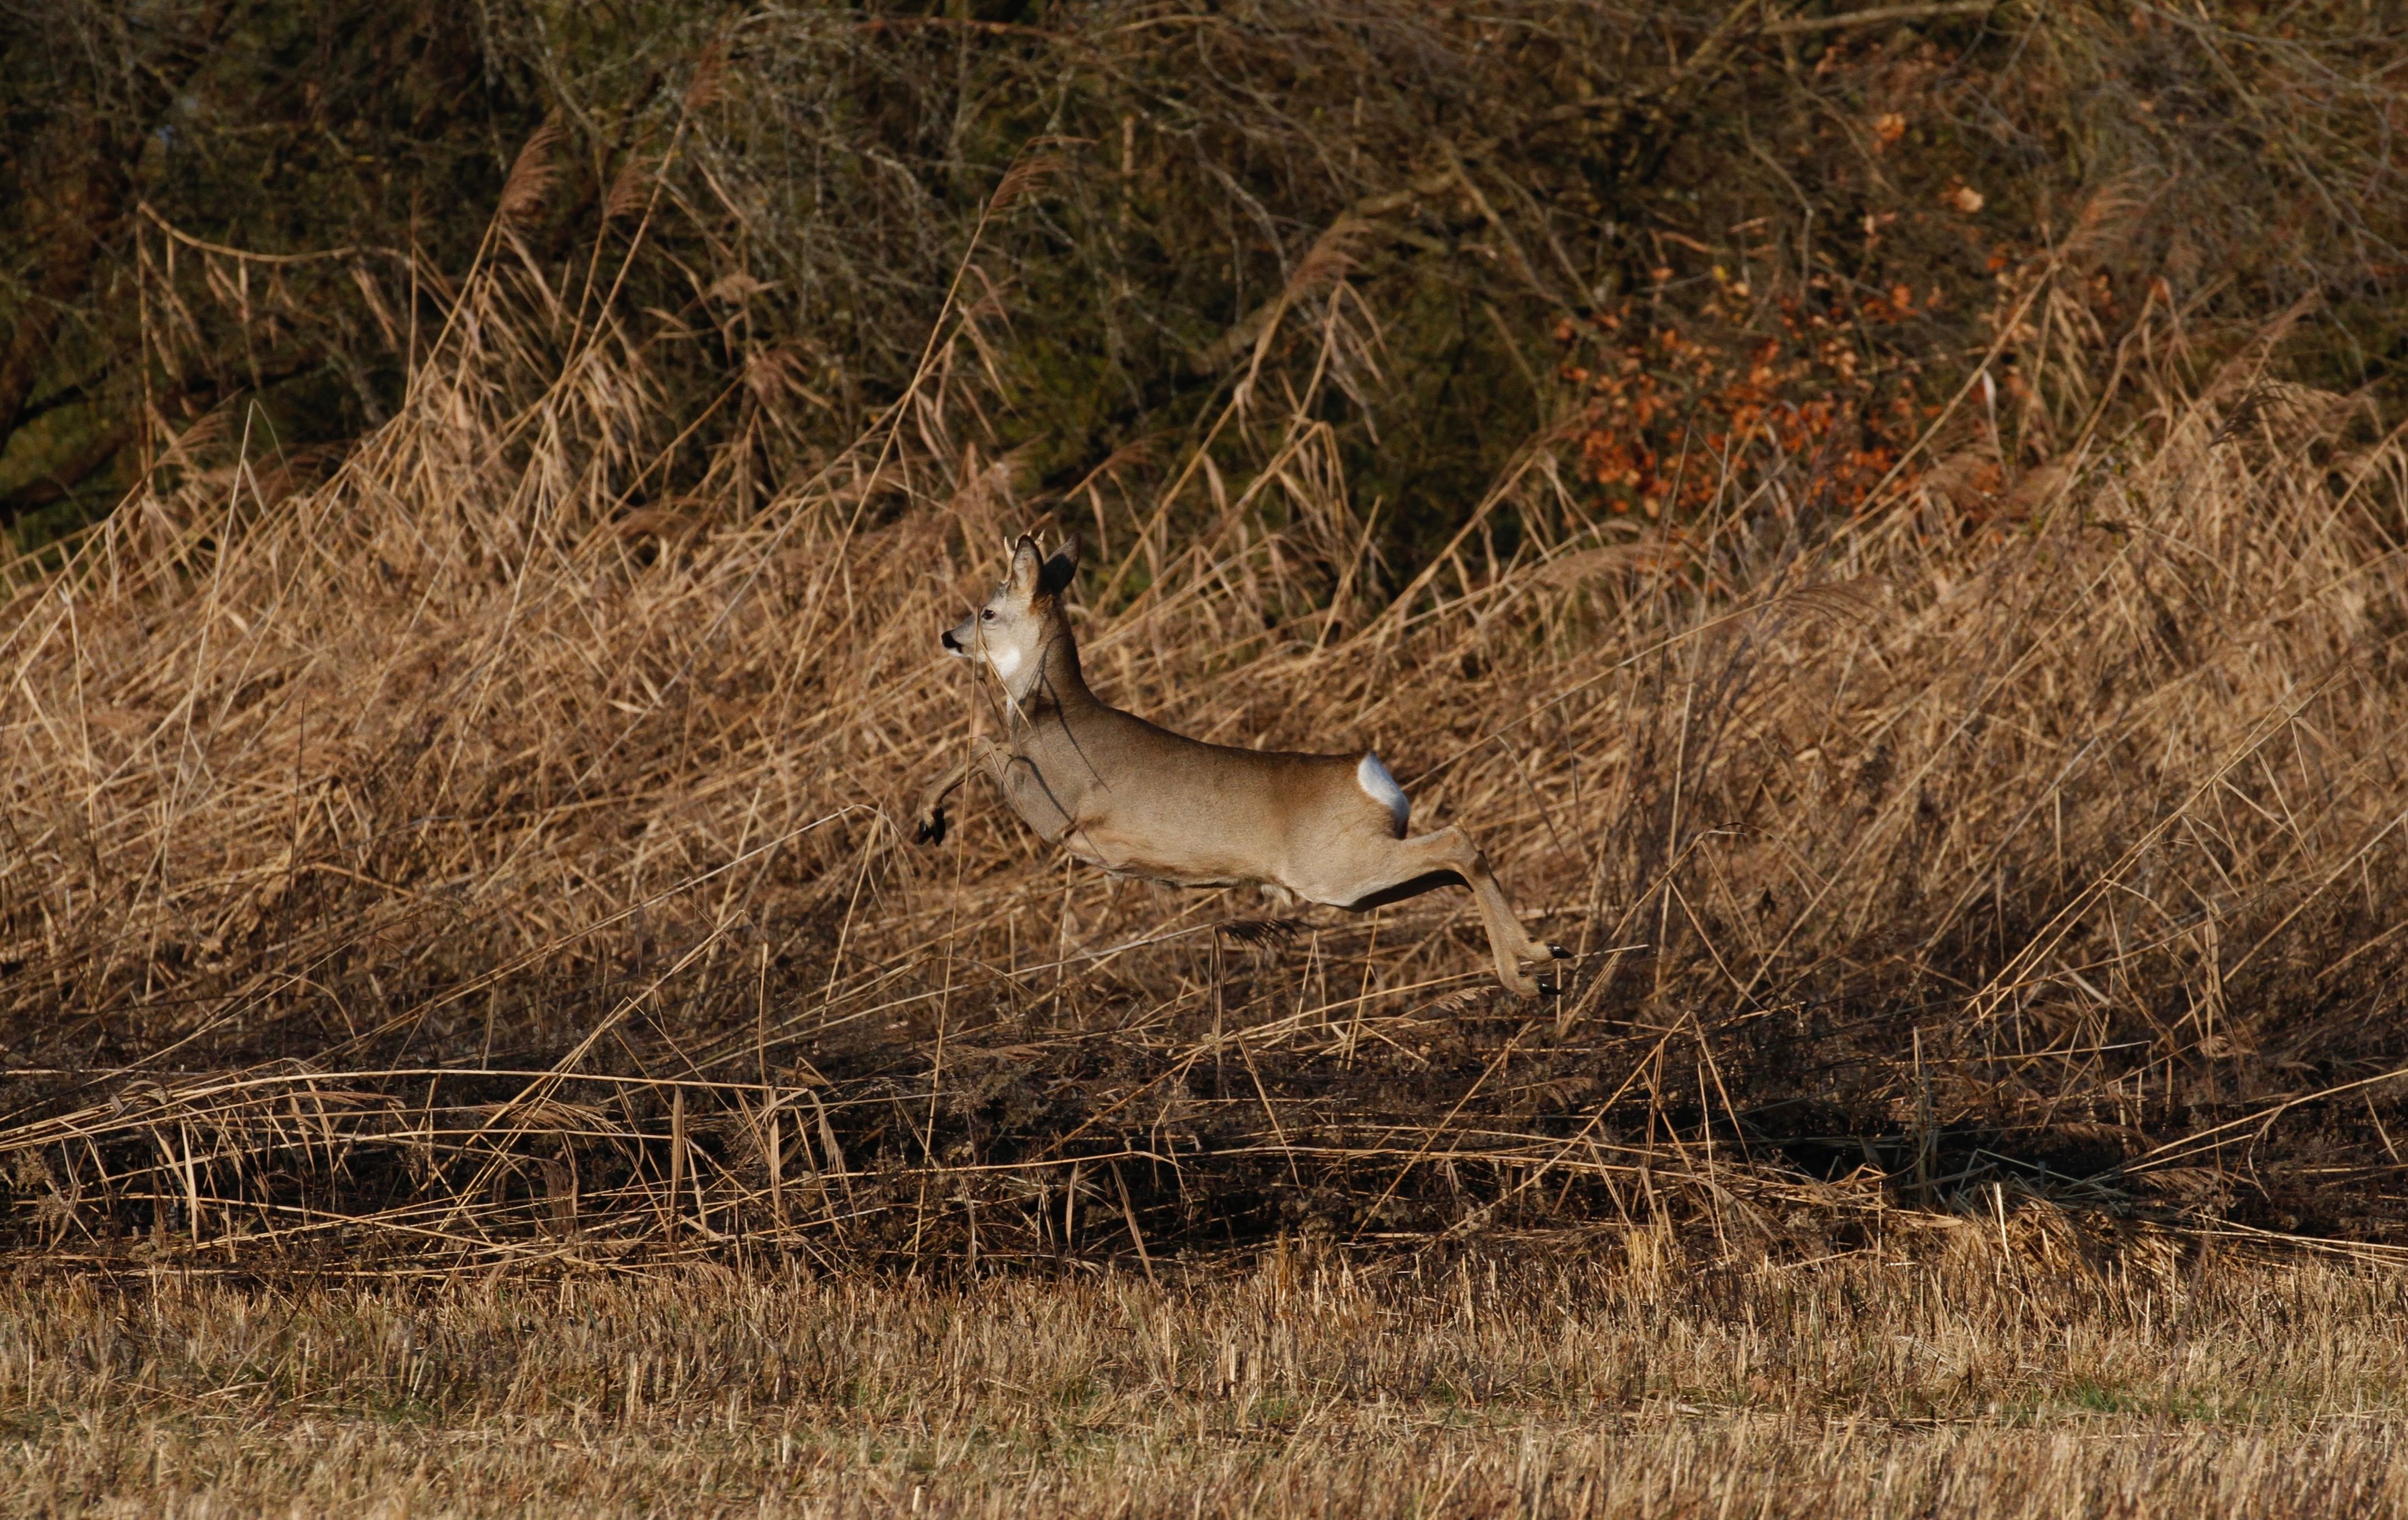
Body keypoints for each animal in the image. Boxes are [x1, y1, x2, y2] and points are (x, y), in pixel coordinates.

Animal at [909, 533, 1571, 996]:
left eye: (988, 612)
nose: (947, 636)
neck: (1046, 708)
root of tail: (1368, 775)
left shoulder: (1052, 807)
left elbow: (981, 744)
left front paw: (926, 820)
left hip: (1335, 867)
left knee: (1459, 843)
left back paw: (1527, 970)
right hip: (1356, 878)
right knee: (1456, 863)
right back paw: (1536, 964)